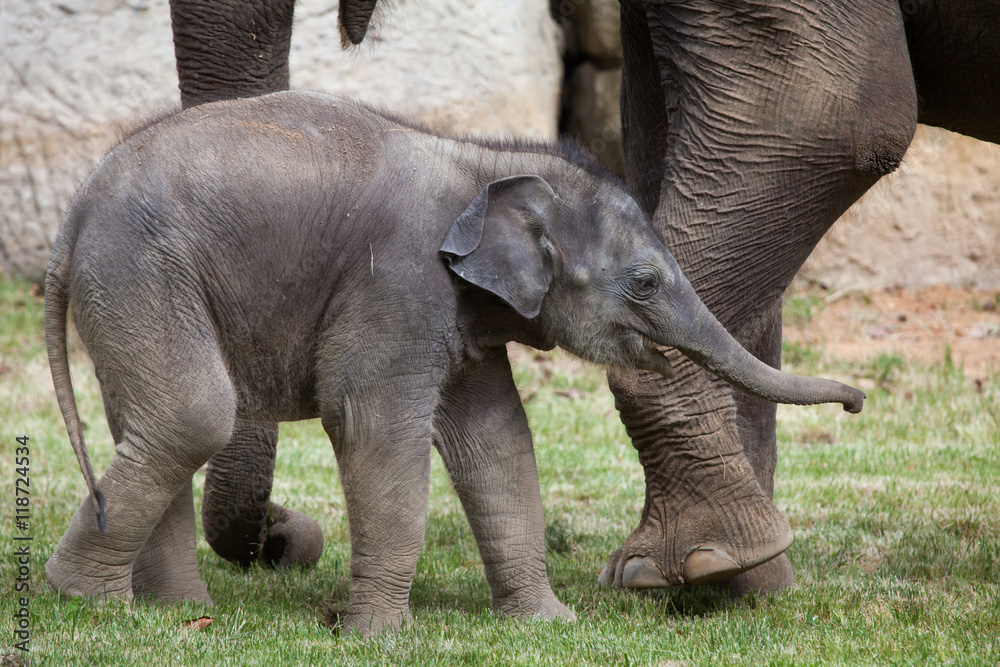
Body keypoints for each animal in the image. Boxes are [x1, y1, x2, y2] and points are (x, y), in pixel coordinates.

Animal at [44, 90, 865, 634]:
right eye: (646, 282)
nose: (858, 401)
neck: (486, 161)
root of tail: (74, 210)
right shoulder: (397, 285)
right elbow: (373, 425)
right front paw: (380, 638)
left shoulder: (466, 316)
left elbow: (499, 439)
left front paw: (548, 626)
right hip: (142, 272)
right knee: (193, 415)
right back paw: (87, 599)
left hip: (136, 289)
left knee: (150, 423)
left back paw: (172, 613)